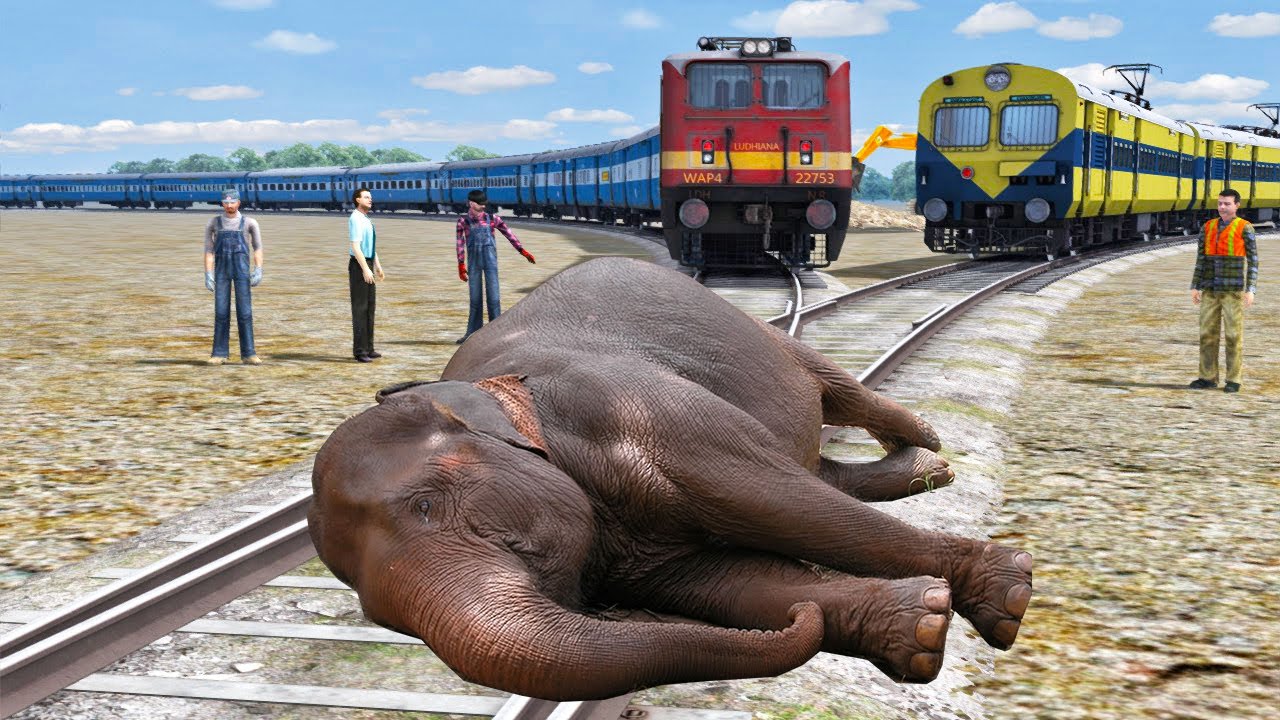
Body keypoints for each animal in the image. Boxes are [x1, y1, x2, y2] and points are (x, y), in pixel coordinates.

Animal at [308, 256, 1032, 701]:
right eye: (376, 616)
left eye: (428, 505)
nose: (803, 620)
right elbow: (733, 582)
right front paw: (922, 628)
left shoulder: (635, 407)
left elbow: (776, 499)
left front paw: (1007, 598)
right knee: (820, 468)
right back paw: (922, 473)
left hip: (764, 338)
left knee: (836, 403)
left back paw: (931, 454)